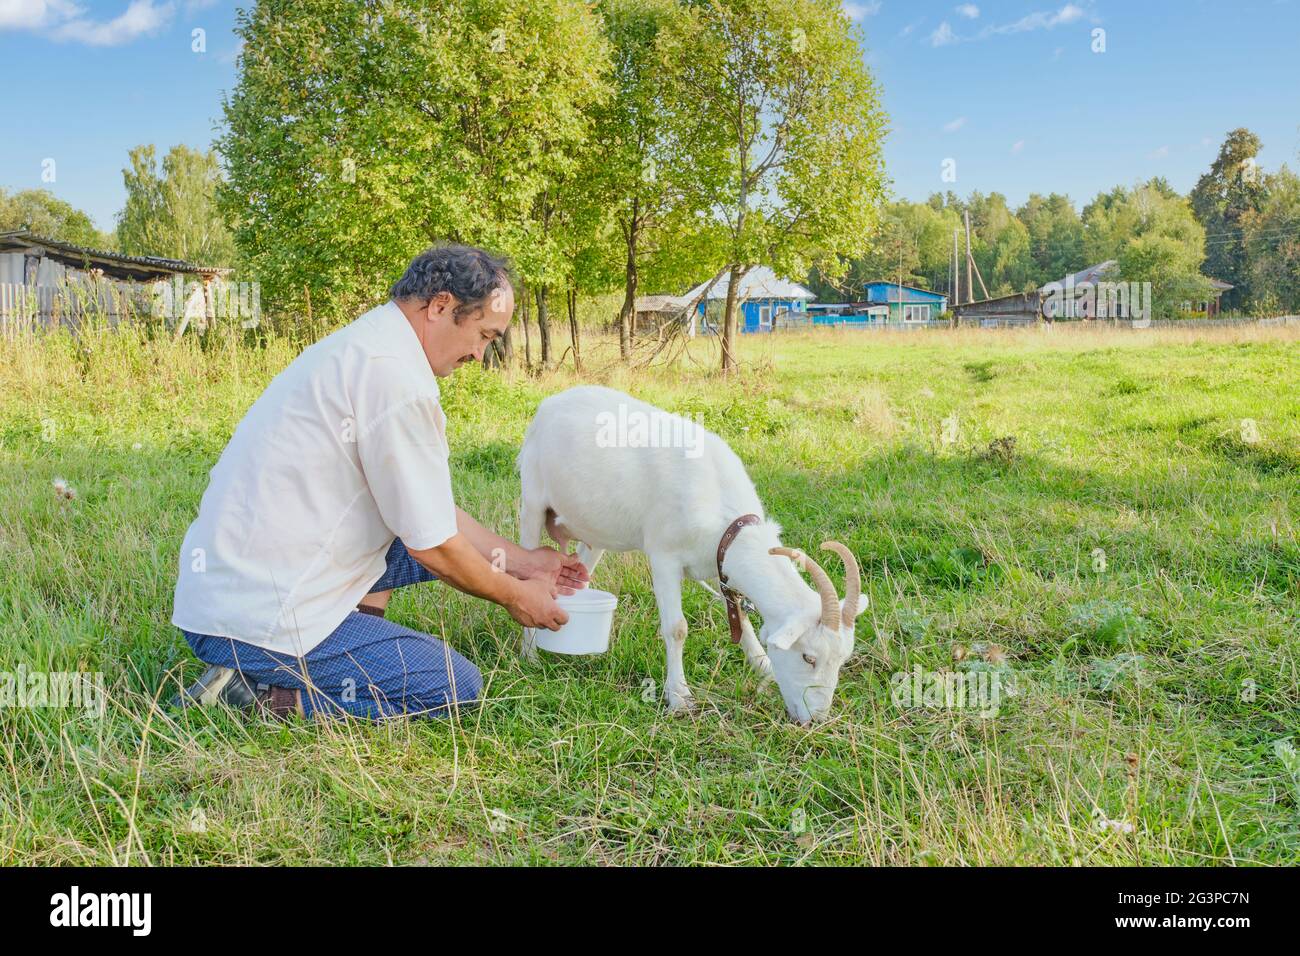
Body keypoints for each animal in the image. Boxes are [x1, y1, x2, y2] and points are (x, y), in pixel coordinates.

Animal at [516, 385, 866, 725]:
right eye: (809, 657)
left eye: (841, 659)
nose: (817, 719)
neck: (719, 502)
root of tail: (550, 403)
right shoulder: (664, 558)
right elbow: (677, 628)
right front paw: (679, 698)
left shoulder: (720, 561)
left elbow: (741, 620)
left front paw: (763, 666)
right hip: (532, 501)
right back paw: (529, 653)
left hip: (593, 530)